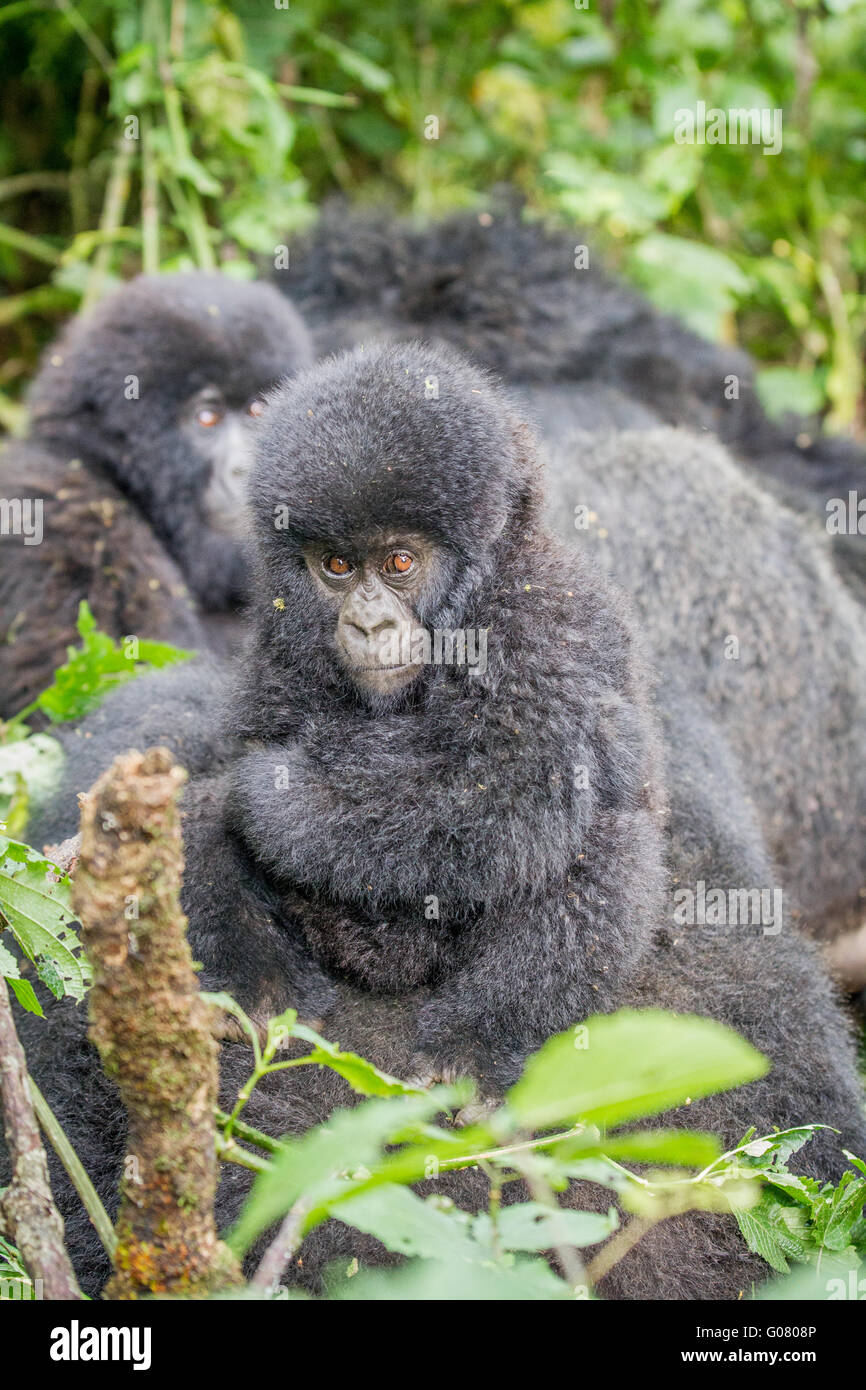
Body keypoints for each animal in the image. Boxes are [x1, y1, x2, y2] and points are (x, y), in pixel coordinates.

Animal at [13, 341, 866, 1301]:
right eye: (335, 568)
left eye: (400, 563)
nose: (367, 622)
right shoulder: (278, 640)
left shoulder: (548, 621)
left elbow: (506, 785)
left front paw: (264, 798)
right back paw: (259, 991)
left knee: (597, 843)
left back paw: (472, 1050)